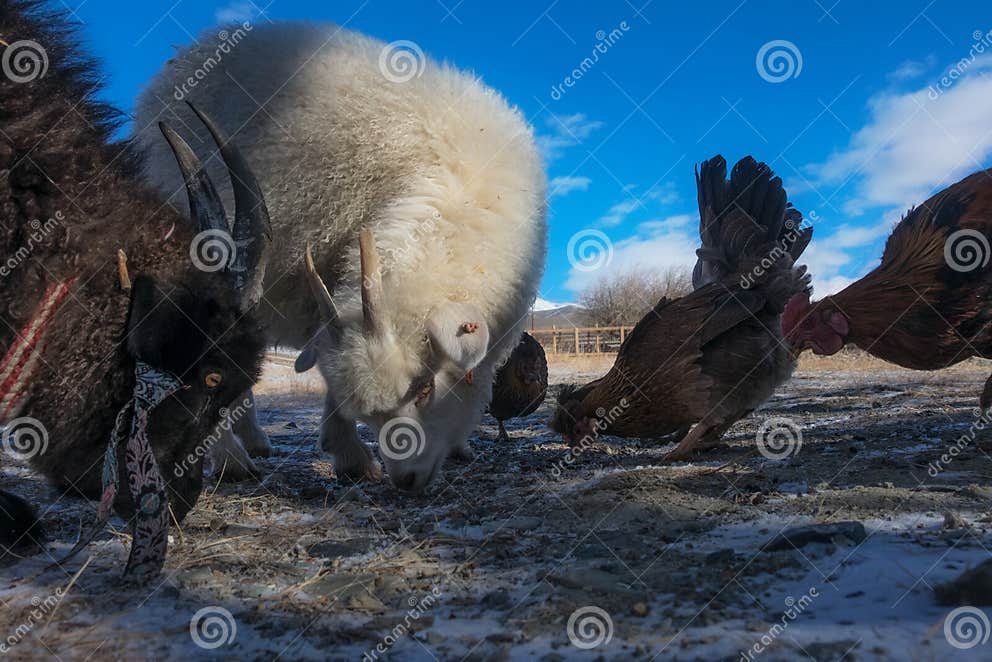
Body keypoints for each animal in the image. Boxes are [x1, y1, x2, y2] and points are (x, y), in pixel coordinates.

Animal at [134, 22, 547, 493]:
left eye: (426, 388)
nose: (406, 481)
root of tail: (191, 49)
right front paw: (348, 453)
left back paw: (253, 438)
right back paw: (231, 458)